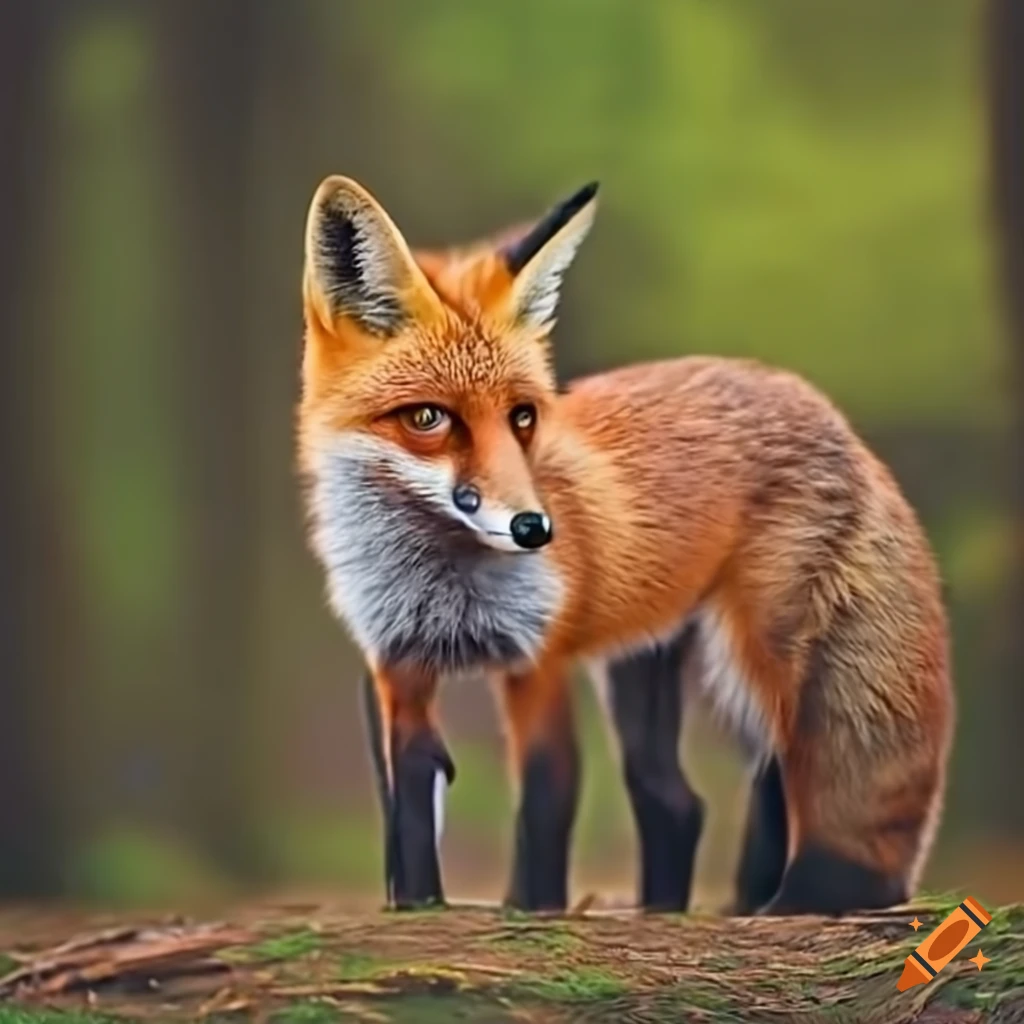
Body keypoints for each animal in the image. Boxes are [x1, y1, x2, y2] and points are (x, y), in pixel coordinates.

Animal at [296, 174, 955, 917]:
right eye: (429, 419)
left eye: (522, 417)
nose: (534, 529)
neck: (439, 583)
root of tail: (827, 409)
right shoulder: (395, 666)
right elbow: (408, 806)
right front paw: (418, 911)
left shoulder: (539, 663)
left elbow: (543, 808)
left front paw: (535, 917)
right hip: (642, 663)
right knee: (678, 801)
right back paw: (677, 909)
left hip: (758, 658)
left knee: (776, 777)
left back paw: (767, 907)